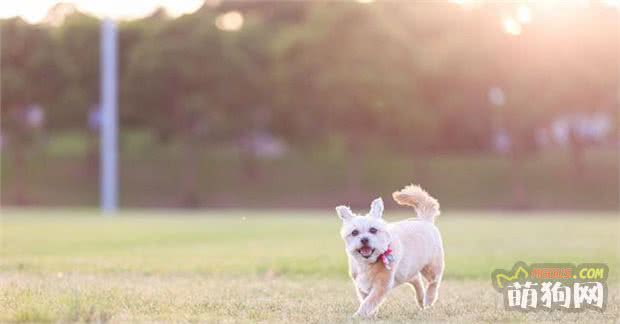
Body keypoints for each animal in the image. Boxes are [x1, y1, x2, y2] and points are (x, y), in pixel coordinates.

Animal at [334, 184, 446, 318]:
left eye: (373, 230)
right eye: (354, 232)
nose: (364, 239)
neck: (369, 263)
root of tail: (424, 220)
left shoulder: (382, 284)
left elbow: (369, 302)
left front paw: (358, 315)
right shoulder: (361, 284)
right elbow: (365, 299)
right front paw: (370, 315)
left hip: (431, 266)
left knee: (434, 281)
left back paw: (429, 299)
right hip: (407, 271)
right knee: (416, 279)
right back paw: (420, 299)